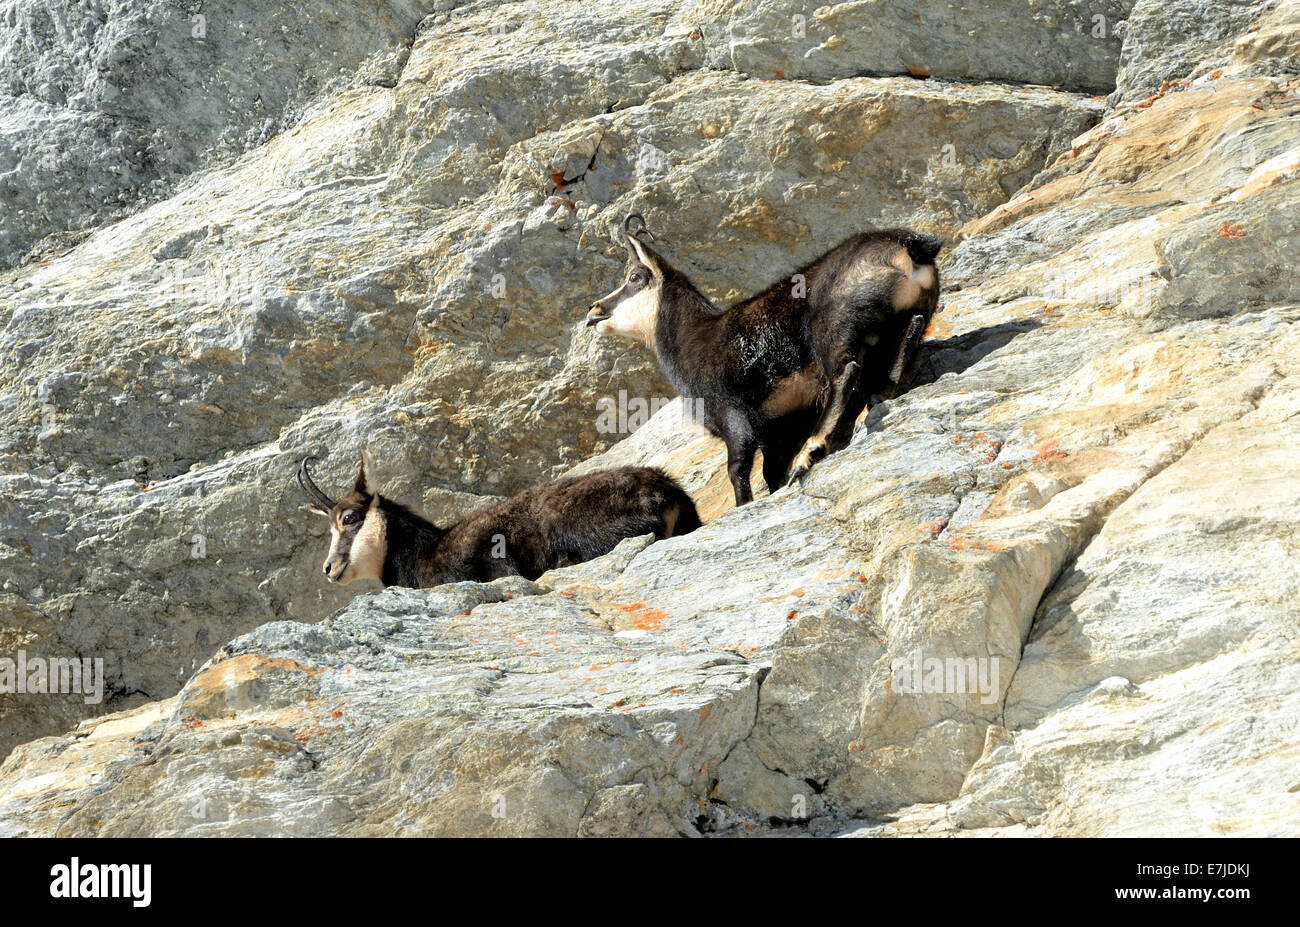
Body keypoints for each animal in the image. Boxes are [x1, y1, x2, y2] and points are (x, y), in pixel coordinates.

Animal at [585, 215, 940, 506]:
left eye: (634, 277)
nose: (594, 309)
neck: (693, 337)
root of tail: (912, 244)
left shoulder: (733, 413)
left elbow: (738, 468)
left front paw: (744, 504)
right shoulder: (779, 429)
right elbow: (771, 473)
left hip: (835, 326)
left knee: (846, 372)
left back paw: (811, 452)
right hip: (907, 314)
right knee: (912, 329)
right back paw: (882, 395)